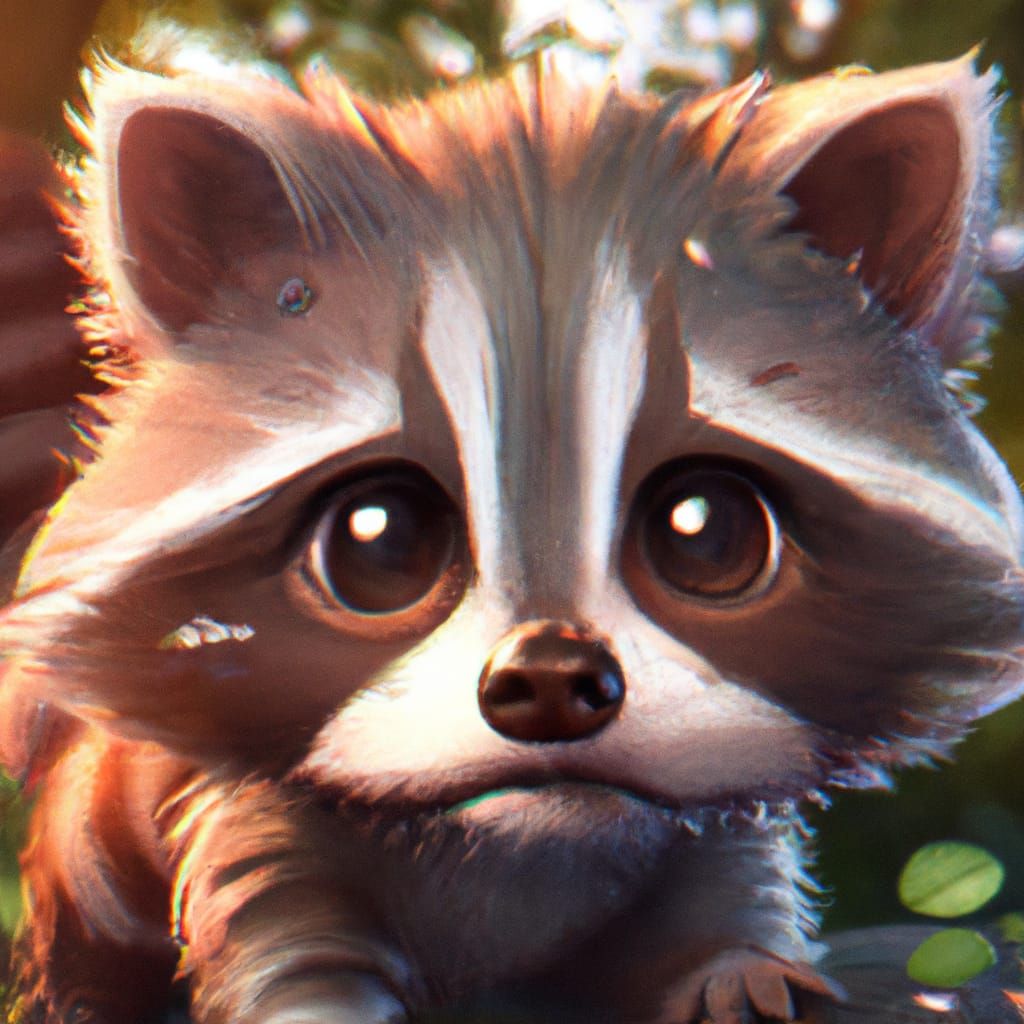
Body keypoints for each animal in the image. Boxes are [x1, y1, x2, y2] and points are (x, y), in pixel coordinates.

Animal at [0, 52, 1021, 1024]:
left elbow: (725, 888)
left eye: (706, 531)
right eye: (379, 539)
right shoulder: (247, 813)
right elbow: (290, 945)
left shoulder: (702, 816)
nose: (555, 679)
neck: (514, 832)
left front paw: (744, 969)